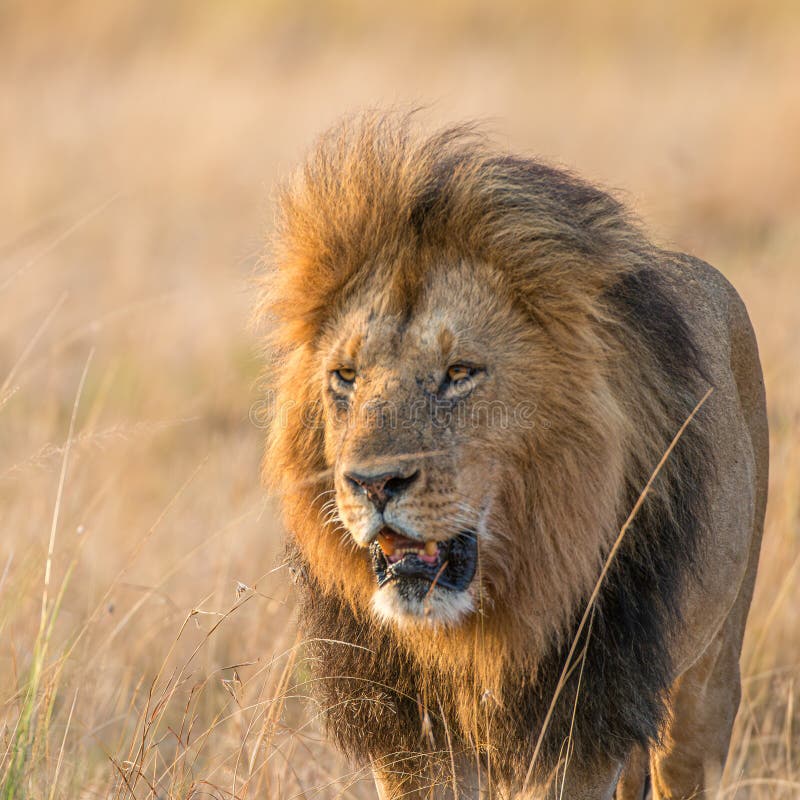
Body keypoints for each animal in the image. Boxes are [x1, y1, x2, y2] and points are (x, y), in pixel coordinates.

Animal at [258, 113, 768, 800]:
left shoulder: (578, 729)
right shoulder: (413, 740)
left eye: (459, 373)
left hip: (707, 683)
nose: (373, 484)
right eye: (345, 376)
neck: (476, 631)